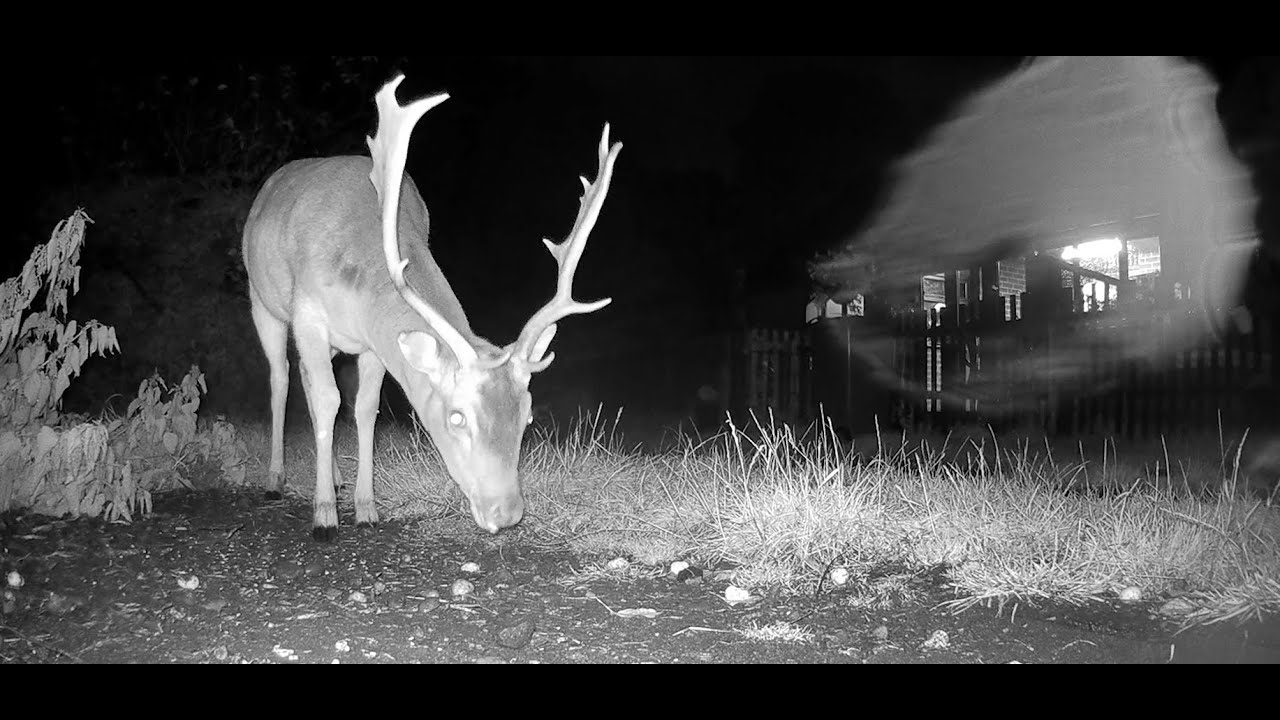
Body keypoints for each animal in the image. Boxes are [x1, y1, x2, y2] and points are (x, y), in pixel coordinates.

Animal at [241, 75, 622, 540]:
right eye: (457, 418)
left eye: (527, 417)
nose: (507, 513)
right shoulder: (309, 314)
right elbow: (329, 400)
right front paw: (325, 516)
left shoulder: (372, 343)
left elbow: (364, 408)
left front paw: (366, 507)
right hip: (263, 302)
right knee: (281, 379)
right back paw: (276, 480)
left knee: (310, 387)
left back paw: (334, 476)